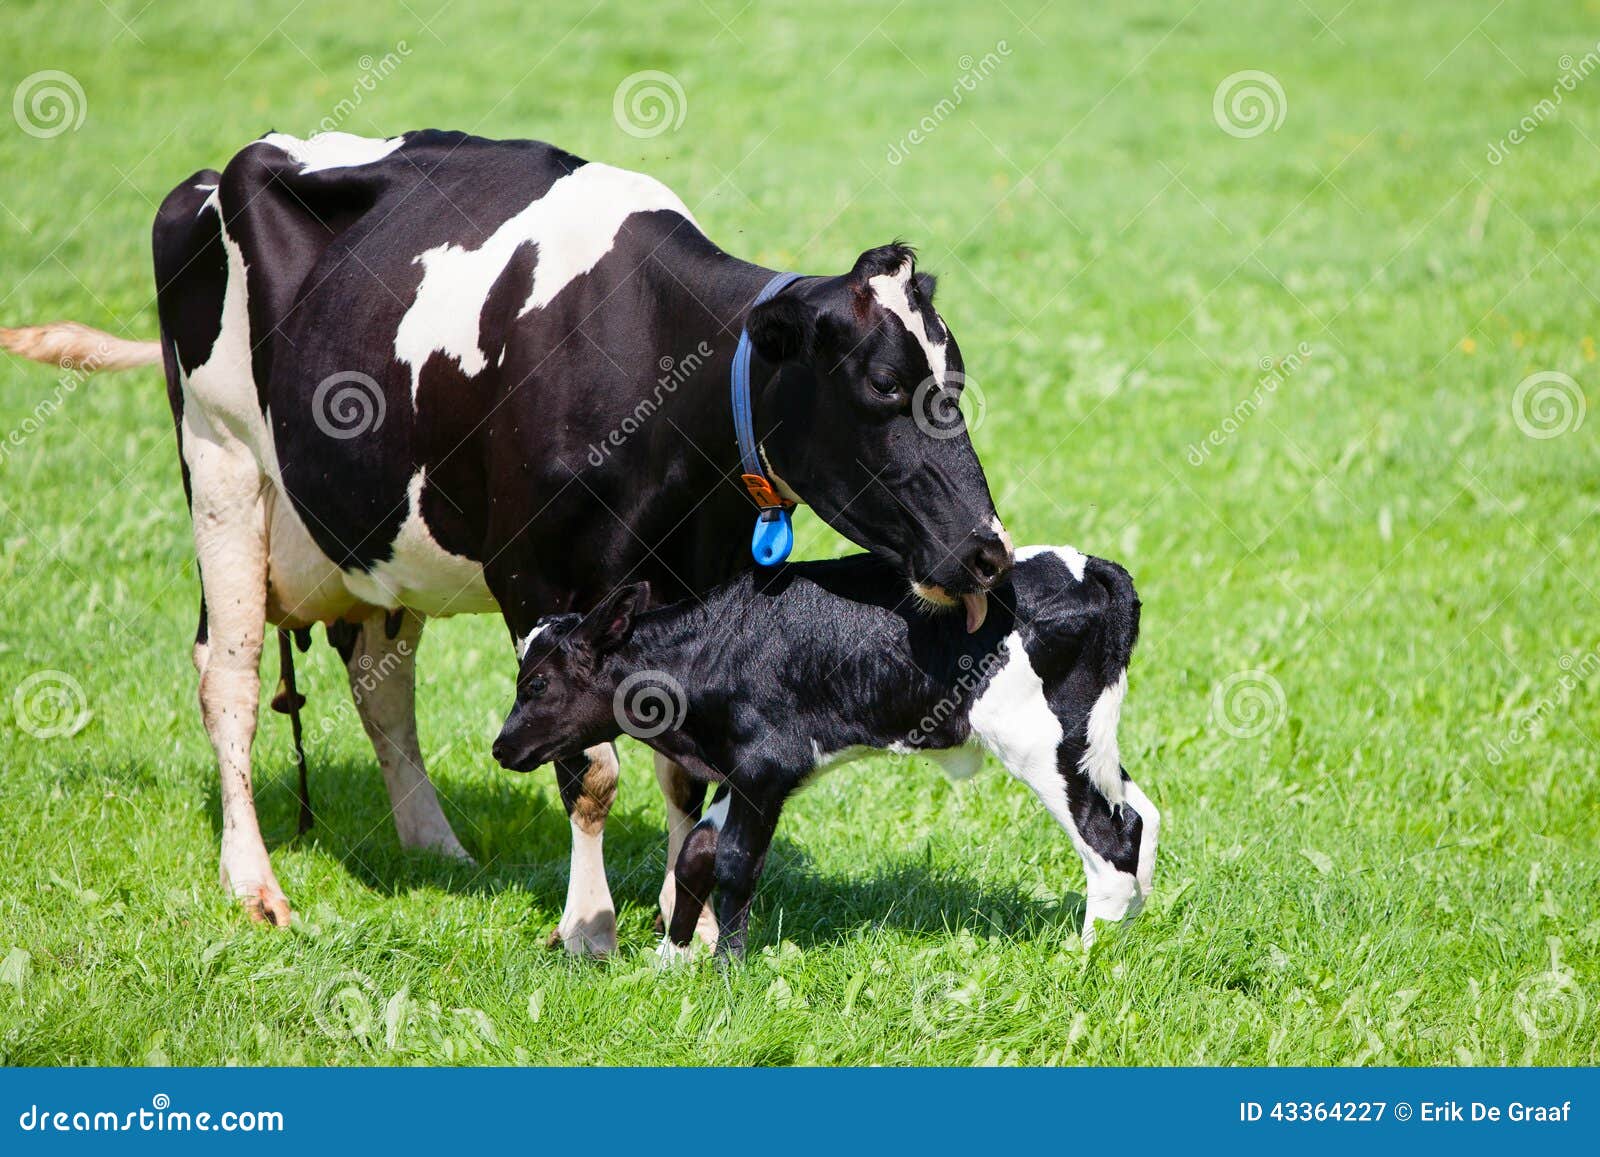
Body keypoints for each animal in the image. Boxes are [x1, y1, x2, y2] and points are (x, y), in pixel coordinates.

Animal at [1, 129, 1012, 953]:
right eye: (883, 386)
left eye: (957, 379)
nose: (987, 551)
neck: (653, 361)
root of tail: (213, 174)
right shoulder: (533, 576)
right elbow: (592, 770)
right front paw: (589, 925)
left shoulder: (700, 578)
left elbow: (682, 763)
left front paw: (687, 922)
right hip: (220, 467)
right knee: (231, 677)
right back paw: (255, 884)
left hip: (372, 532)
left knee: (381, 681)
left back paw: (436, 845)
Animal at [491, 544, 1158, 958]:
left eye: (537, 684)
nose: (500, 747)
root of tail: (1091, 569)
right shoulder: (743, 770)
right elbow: (696, 854)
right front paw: (671, 959)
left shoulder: (765, 767)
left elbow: (734, 864)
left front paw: (724, 970)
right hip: (1087, 737)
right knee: (1140, 812)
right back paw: (1128, 935)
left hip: (1040, 742)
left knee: (1109, 837)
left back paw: (1088, 956)